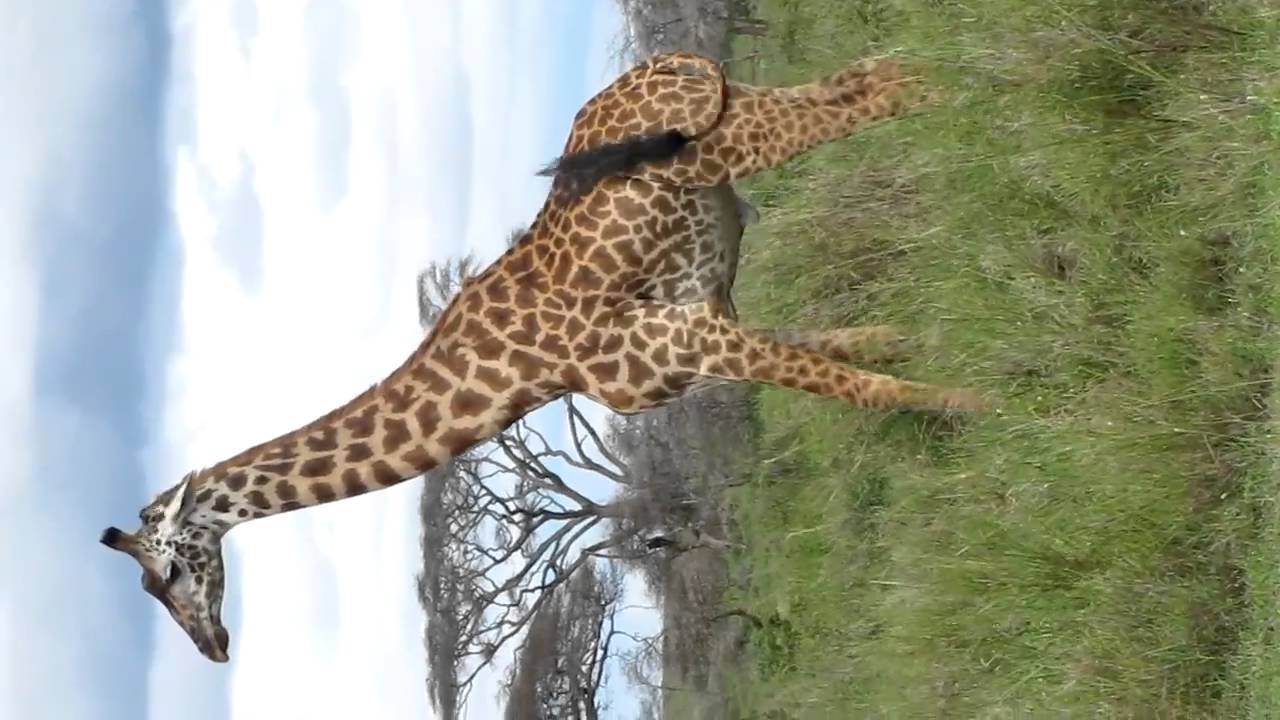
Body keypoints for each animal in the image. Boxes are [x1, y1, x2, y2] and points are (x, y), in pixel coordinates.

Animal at [100, 51, 982, 663]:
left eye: (169, 573)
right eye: (151, 589)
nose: (214, 647)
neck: (527, 375)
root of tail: (663, 64)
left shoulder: (690, 337)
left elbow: (856, 389)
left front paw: (976, 410)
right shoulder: (704, 330)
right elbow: (846, 355)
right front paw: (923, 347)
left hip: (728, 139)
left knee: (897, 86)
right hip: (743, 106)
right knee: (876, 73)